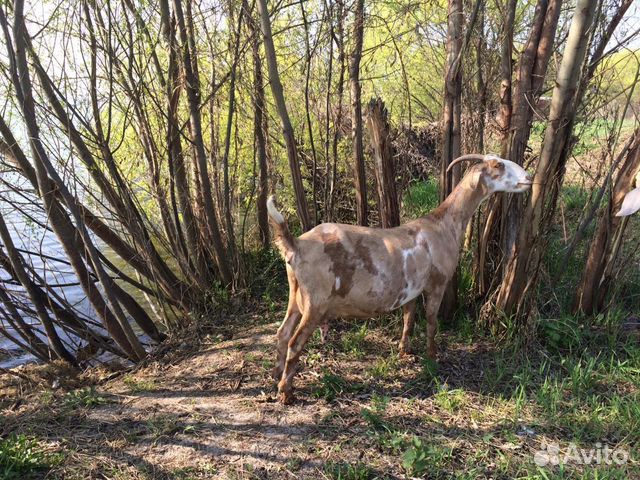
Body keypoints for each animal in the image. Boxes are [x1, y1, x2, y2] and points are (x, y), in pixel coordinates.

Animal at [267, 154, 532, 404]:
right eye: (498, 165)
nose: (528, 178)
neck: (443, 225)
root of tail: (296, 245)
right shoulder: (436, 284)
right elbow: (432, 322)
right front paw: (432, 358)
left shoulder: (410, 290)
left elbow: (408, 319)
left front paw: (404, 351)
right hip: (316, 302)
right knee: (294, 343)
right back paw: (286, 392)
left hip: (296, 294)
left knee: (282, 333)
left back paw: (275, 375)